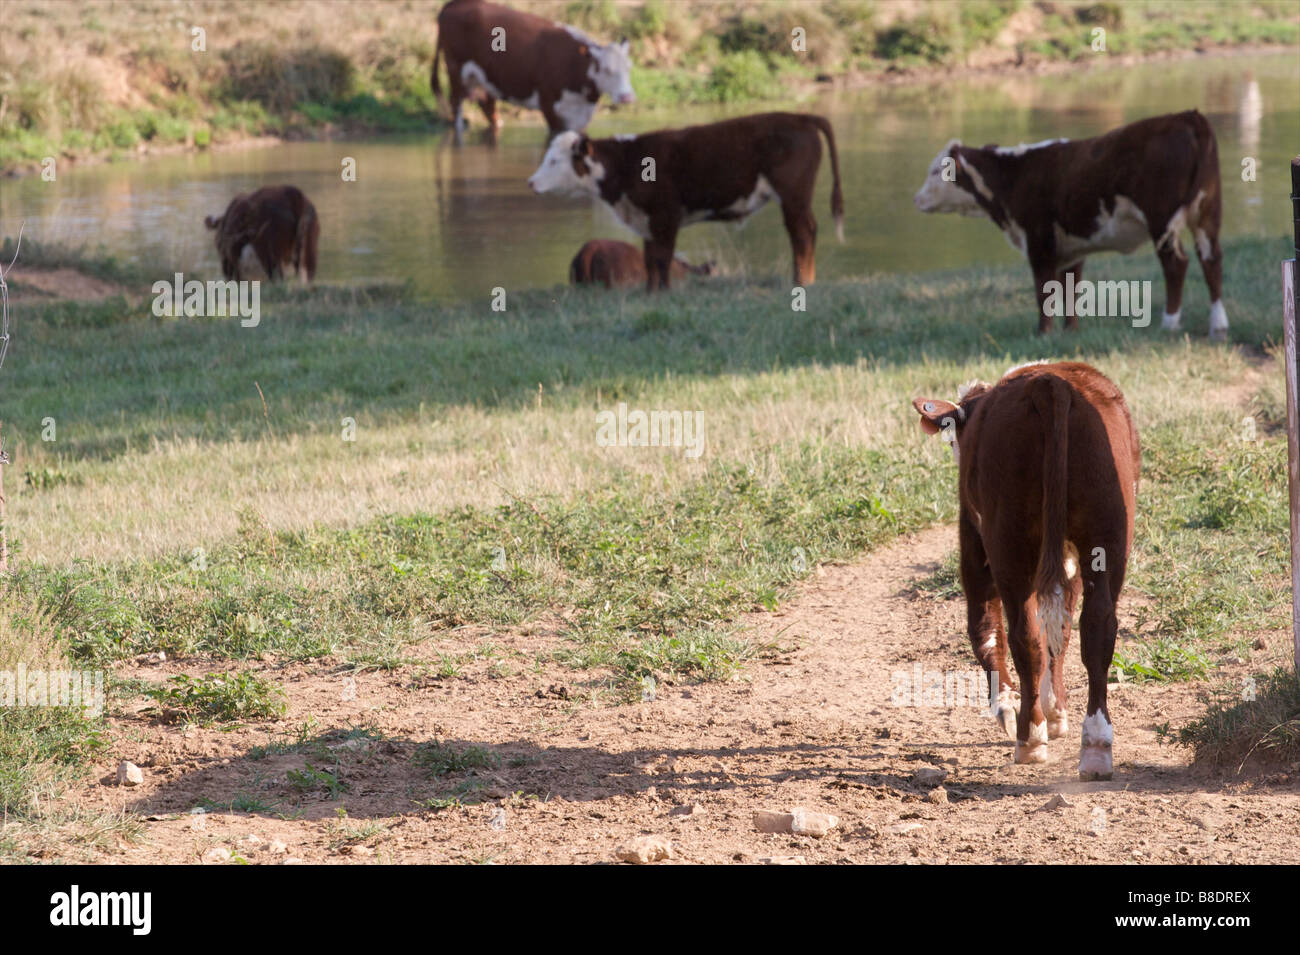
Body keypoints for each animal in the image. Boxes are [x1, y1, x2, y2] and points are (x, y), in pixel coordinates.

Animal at [431, 0, 634, 137]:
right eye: (606, 69)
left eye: (628, 68)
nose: (627, 97)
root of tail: (454, 4)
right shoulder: (548, 105)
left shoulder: (580, 116)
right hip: (455, 68)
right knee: (456, 104)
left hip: (484, 78)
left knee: (487, 104)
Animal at [912, 360, 1140, 781]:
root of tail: (1049, 385)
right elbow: (1059, 629)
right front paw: (1056, 712)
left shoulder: (973, 537)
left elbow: (985, 627)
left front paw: (1006, 705)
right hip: (1108, 533)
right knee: (1096, 628)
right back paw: (1095, 746)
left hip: (1008, 541)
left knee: (1023, 634)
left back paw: (1029, 736)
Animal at [913, 111, 1226, 340]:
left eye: (936, 170)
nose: (916, 199)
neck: (1013, 177)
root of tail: (1187, 116)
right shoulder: (1072, 249)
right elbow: (1070, 290)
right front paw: (1070, 330)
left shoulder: (1039, 242)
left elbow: (1044, 291)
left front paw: (1043, 334)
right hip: (1207, 214)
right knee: (1211, 262)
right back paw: (1218, 325)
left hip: (1162, 219)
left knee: (1176, 265)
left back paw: (1169, 322)